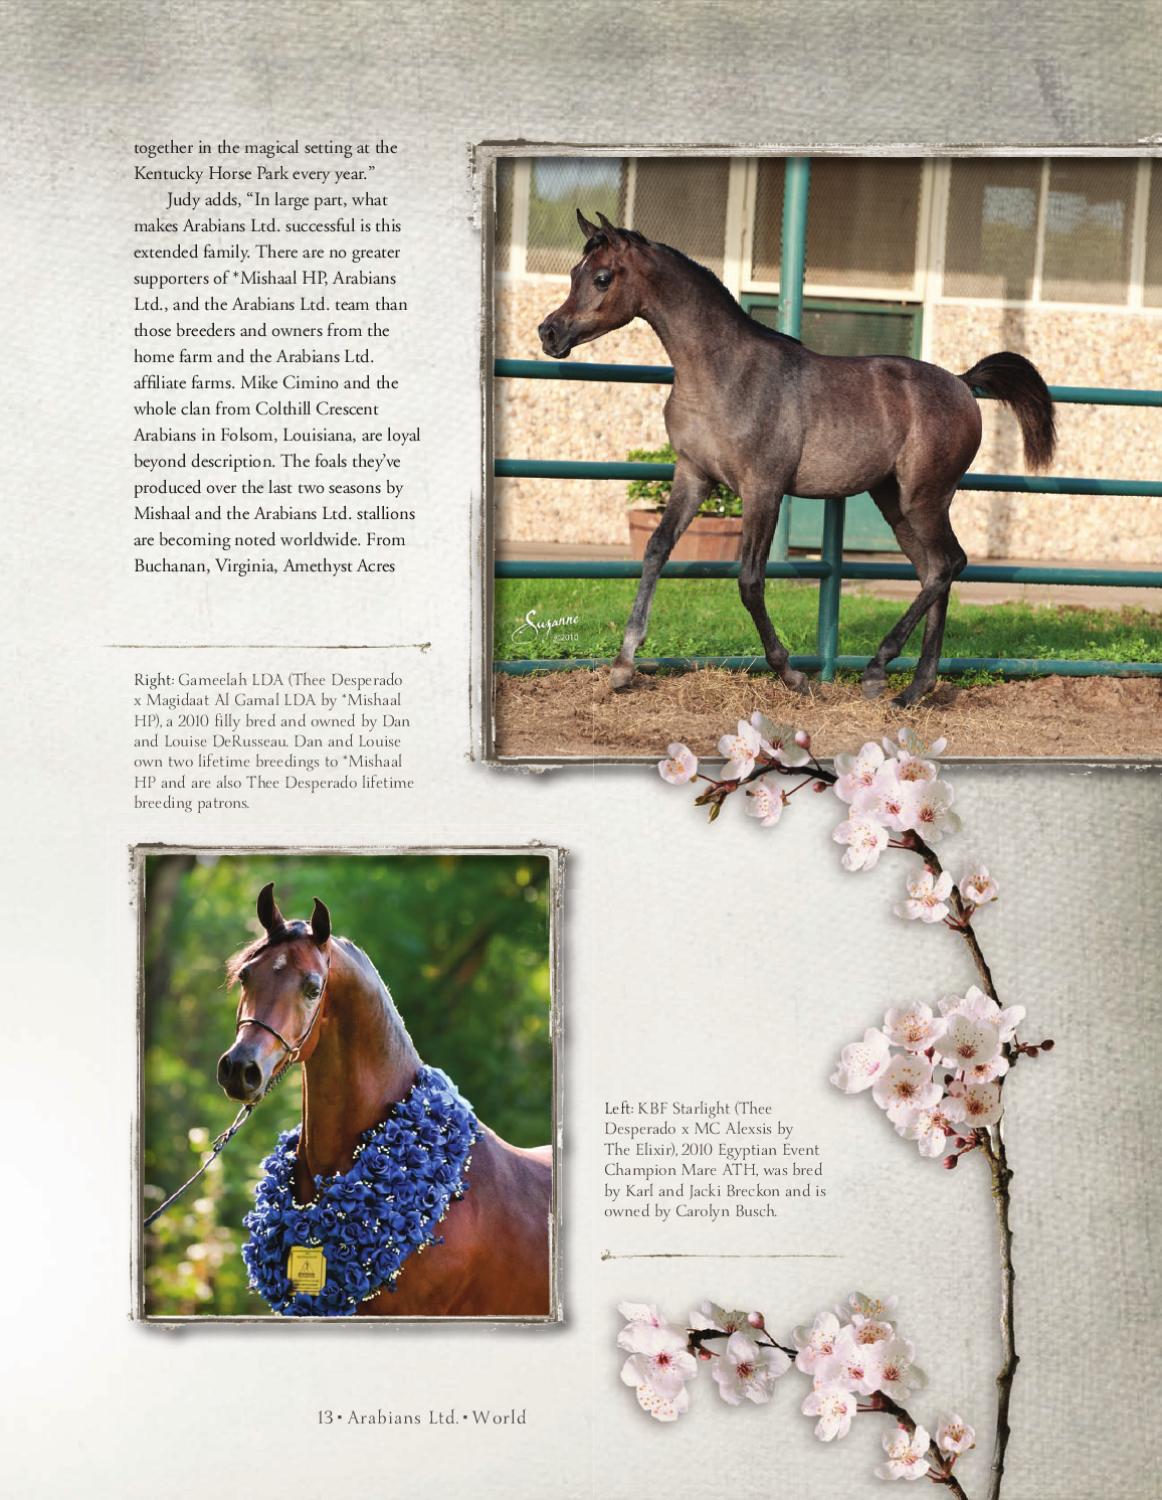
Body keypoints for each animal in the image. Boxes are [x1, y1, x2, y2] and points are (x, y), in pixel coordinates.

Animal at [537, 210, 1057, 708]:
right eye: (573, 272)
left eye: (602, 277)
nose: (549, 332)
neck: (724, 373)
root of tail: (963, 384)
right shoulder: (693, 476)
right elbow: (656, 549)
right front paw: (623, 666)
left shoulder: (763, 489)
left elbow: (750, 580)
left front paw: (793, 676)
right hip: (895, 502)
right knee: (935, 571)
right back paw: (911, 690)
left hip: (924, 498)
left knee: (949, 563)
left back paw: (878, 669)